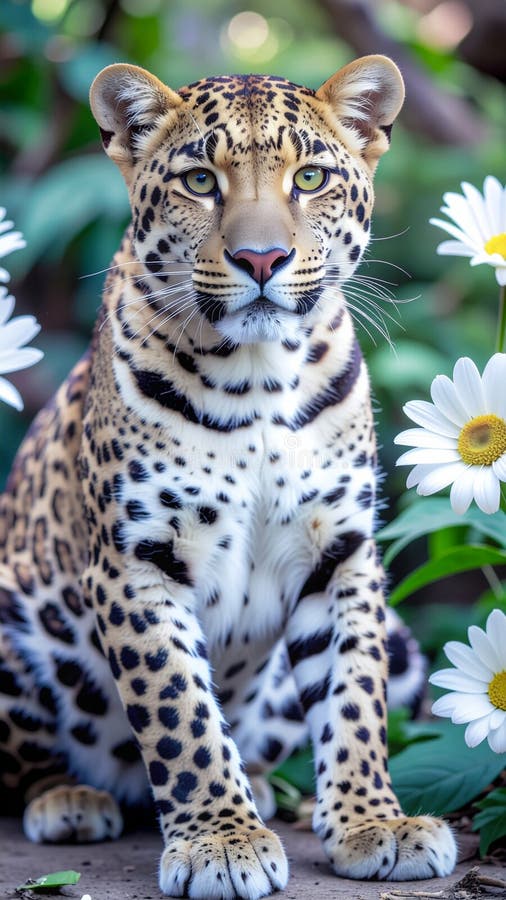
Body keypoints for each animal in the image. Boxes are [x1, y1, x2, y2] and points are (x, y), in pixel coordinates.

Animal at [0, 55, 456, 899]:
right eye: (200, 181)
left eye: (309, 178)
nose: (261, 260)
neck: (259, 381)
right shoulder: (137, 563)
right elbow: (180, 710)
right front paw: (220, 840)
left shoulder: (341, 555)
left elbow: (355, 696)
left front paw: (372, 822)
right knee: (29, 764)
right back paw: (70, 799)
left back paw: (275, 790)